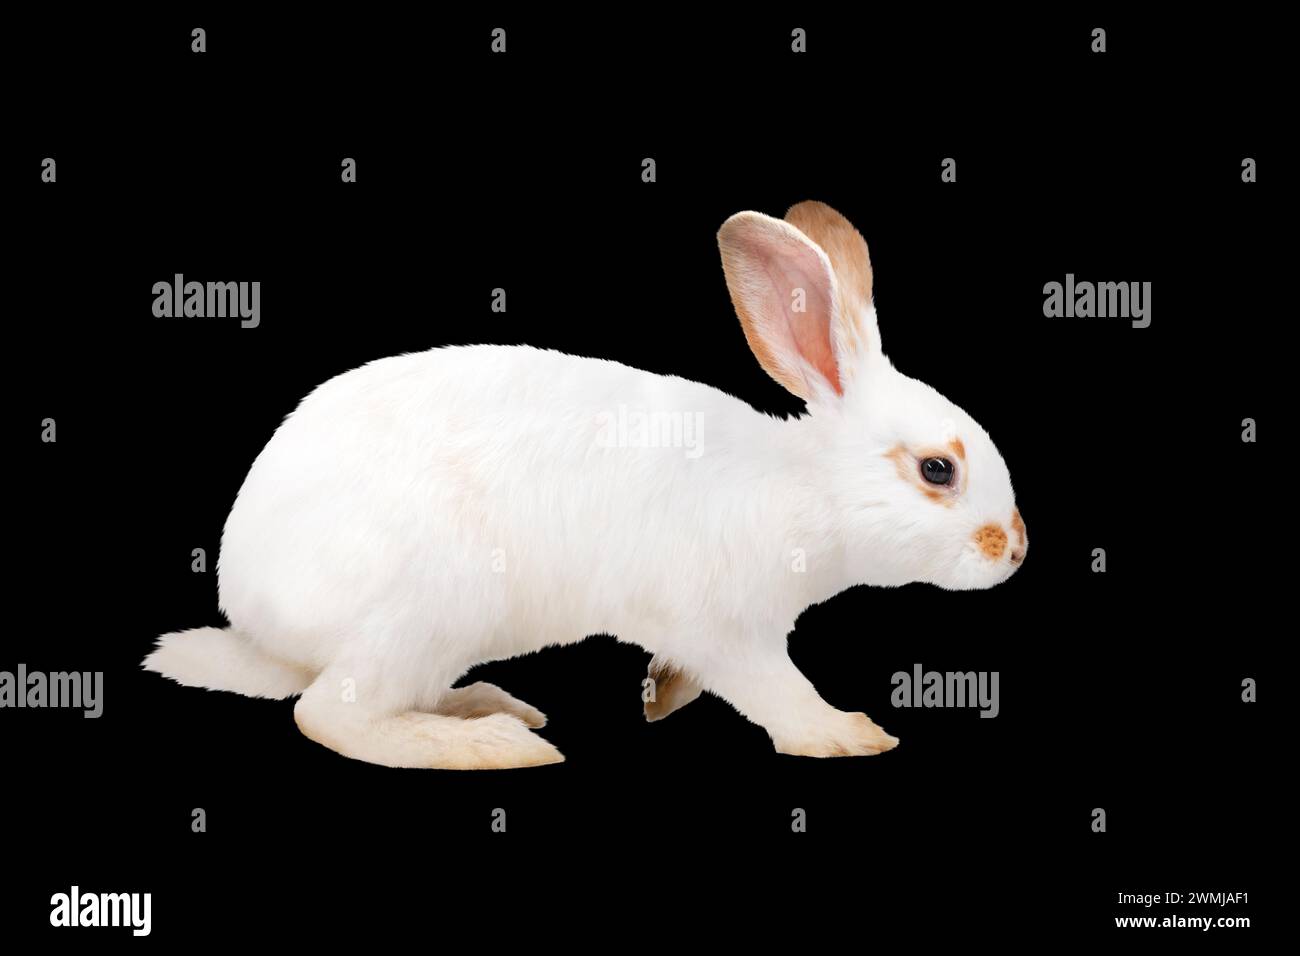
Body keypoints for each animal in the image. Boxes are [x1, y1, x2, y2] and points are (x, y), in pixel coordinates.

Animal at [143, 200, 1026, 770]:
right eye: (938, 469)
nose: (1015, 549)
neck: (806, 488)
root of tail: (259, 626)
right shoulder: (727, 628)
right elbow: (775, 690)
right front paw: (845, 734)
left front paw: (660, 693)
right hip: (423, 609)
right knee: (329, 713)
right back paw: (490, 745)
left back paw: (490, 704)